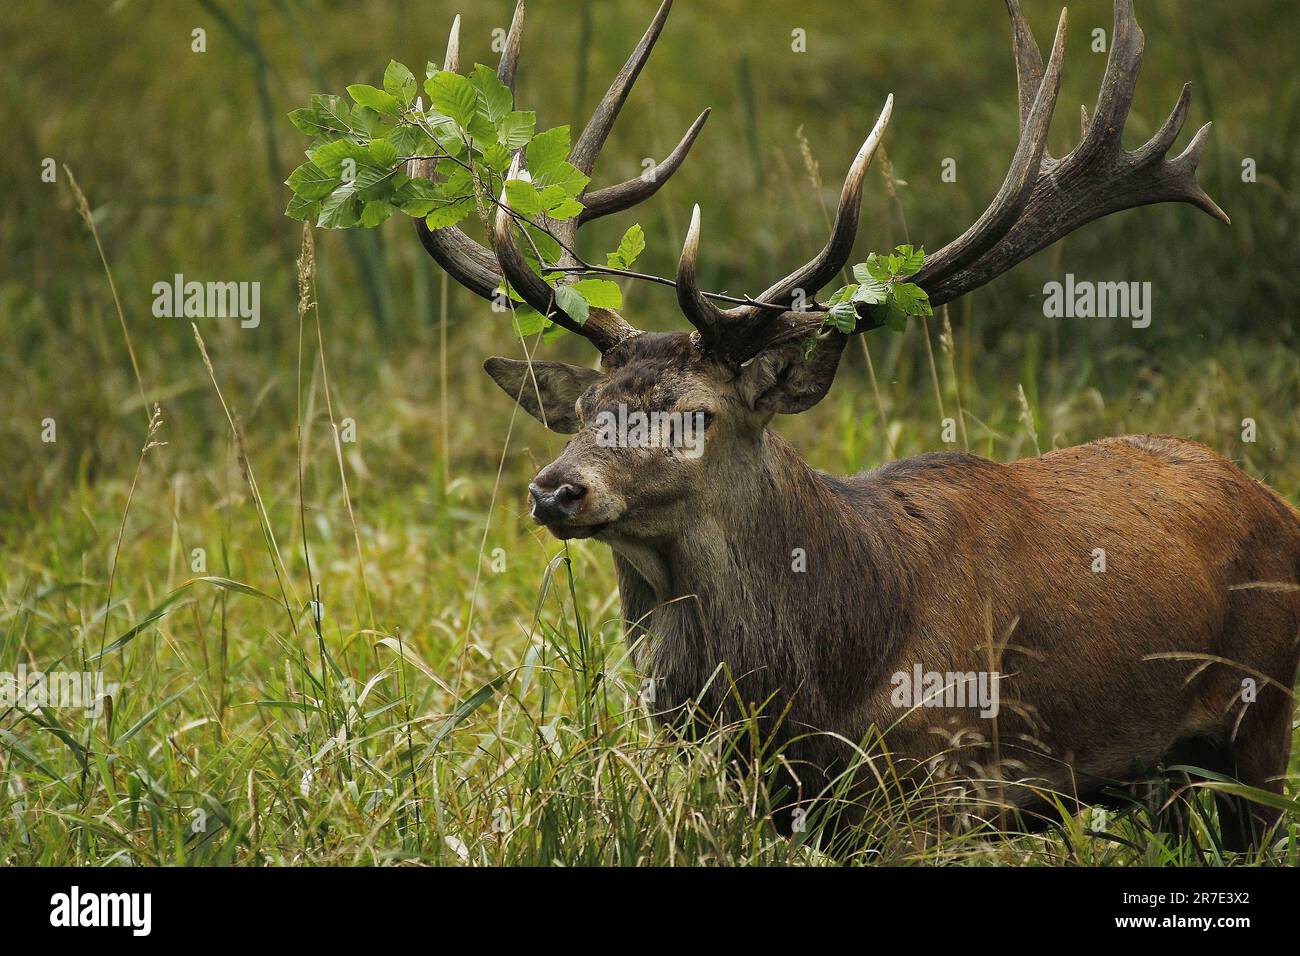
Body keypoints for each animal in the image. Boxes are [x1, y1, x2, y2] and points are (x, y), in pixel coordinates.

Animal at [413, 0, 1300, 850]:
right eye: (587, 412)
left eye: (696, 415)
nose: (557, 491)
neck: (825, 683)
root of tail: (1274, 501)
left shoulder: (941, 791)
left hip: (1261, 719)